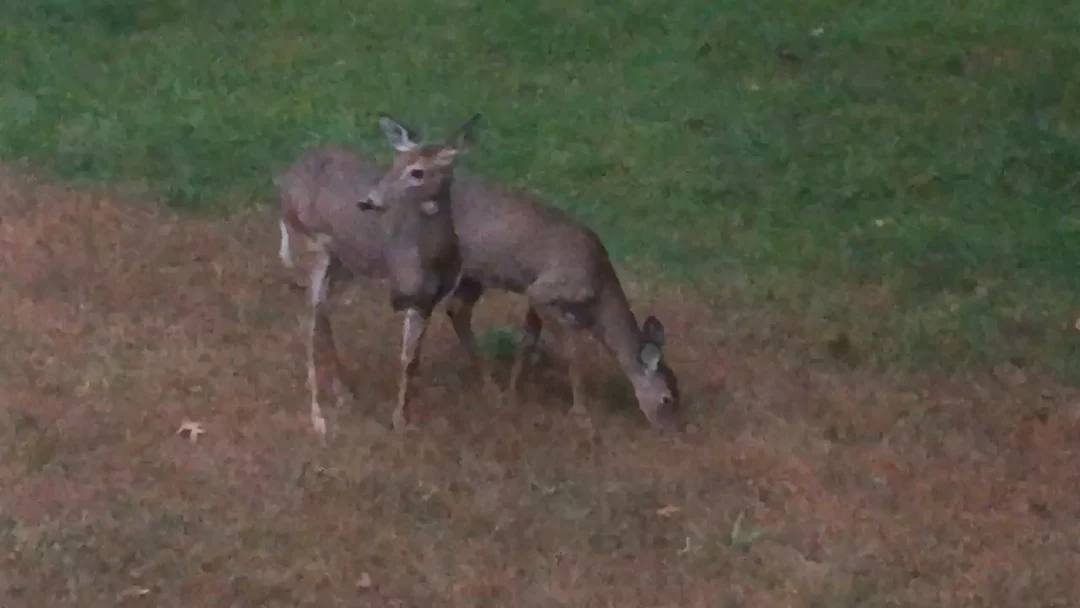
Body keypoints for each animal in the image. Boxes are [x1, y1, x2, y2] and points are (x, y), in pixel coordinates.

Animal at [274, 115, 485, 436]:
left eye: (417, 172)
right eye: (394, 164)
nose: (368, 202)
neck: (431, 256)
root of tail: (285, 179)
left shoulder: (431, 298)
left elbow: (414, 358)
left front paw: (404, 417)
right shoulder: (403, 291)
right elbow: (406, 355)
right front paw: (398, 419)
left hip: (344, 261)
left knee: (322, 312)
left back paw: (344, 391)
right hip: (312, 245)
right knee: (308, 319)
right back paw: (318, 417)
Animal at [360, 115, 682, 431]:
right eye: (667, 399)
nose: (670, 429)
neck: (597, 293)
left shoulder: (533, 291)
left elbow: (527, 342)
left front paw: (514, 393)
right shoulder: (547, 289)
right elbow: (570, 352)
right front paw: (581, 414)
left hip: (473, 275)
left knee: (456, 309)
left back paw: (489, 388)